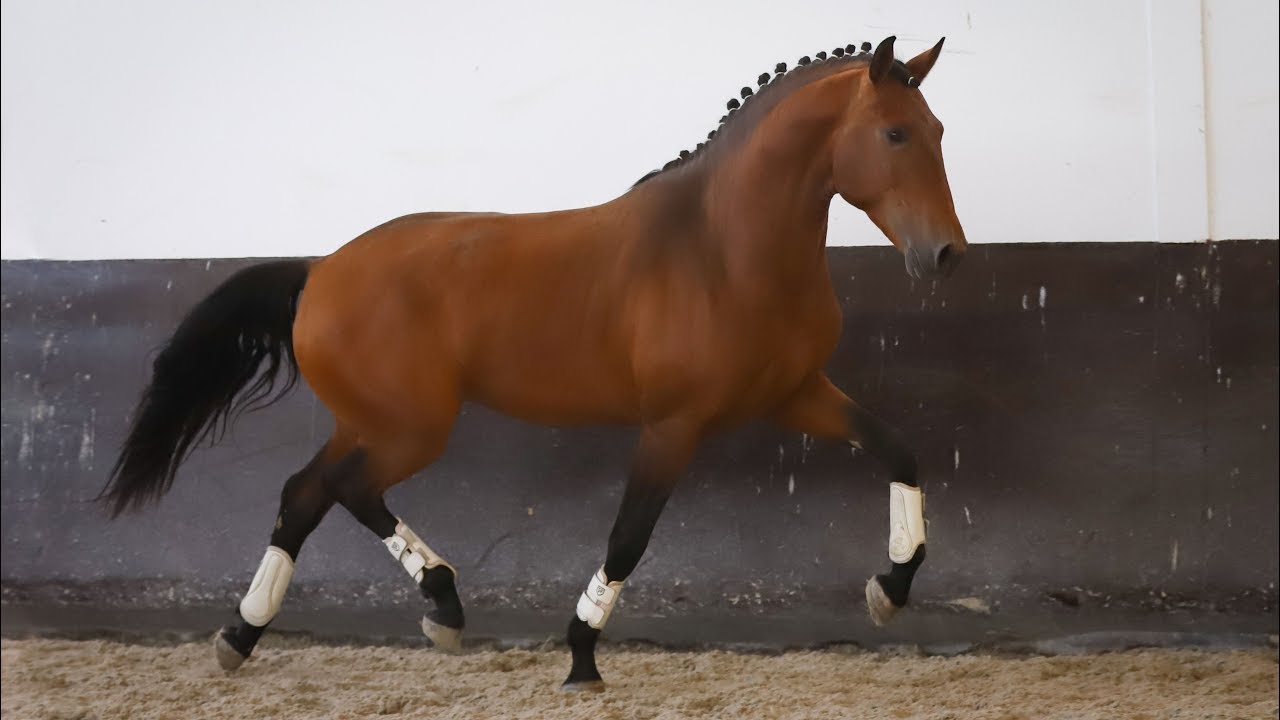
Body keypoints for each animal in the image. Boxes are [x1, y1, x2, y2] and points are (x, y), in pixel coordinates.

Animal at [100, 34, 966, 691]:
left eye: (939, 131)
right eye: (895, 134)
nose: (945, 255)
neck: (721, 251)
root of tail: (318, 271)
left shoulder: (795, 394)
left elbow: (902, 453)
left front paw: (889, 590)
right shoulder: (673, 425)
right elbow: (627, 539)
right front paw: (581, 658)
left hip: (373, 421)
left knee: (305, 494)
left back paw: (252, 634)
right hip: (410, 429)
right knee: (344, 489)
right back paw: (435, 608)